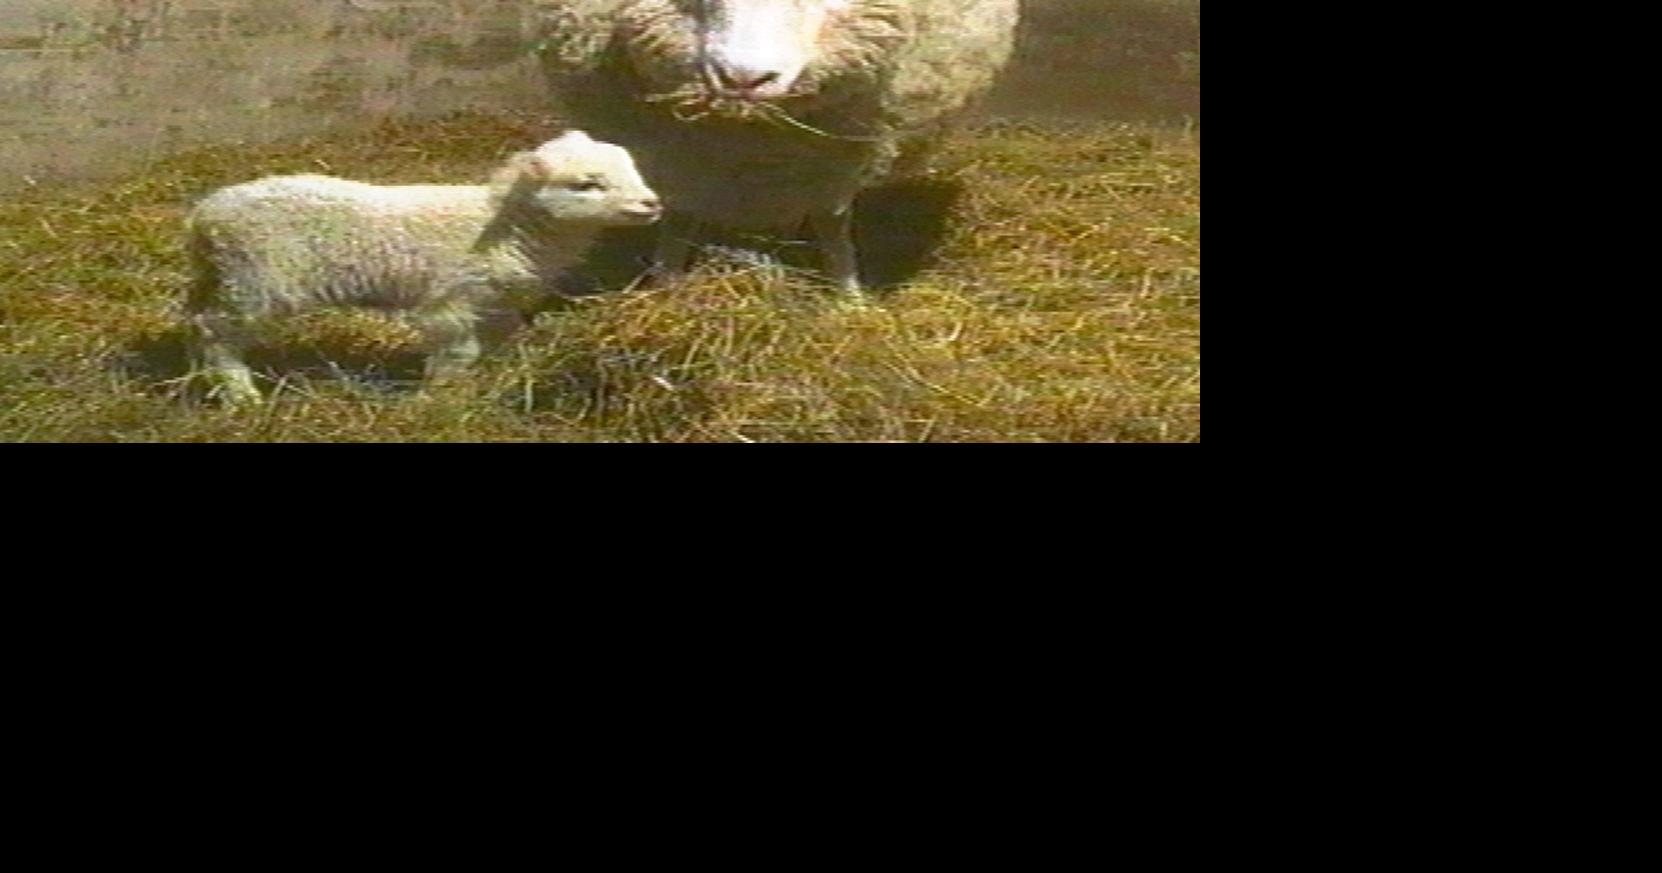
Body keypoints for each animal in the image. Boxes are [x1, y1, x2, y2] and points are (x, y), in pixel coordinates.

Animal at [184, 130, 661, 404]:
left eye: (633, 168)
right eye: (587, 185)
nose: (651, 204)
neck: (505, 225)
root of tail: (204, 215)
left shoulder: (494, 301)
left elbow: (494, 343)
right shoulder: (451, 298)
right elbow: (458, 350)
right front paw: (438, 396)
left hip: (225, 277)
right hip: (257, 280)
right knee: (217, 331)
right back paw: (240, 393)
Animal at [534, 0, 1021, 294]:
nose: (742, 79)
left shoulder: (837, 160)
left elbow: (832, 222)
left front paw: (847, 297)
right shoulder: (676, 157)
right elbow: (678, 217)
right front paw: (666, 290)